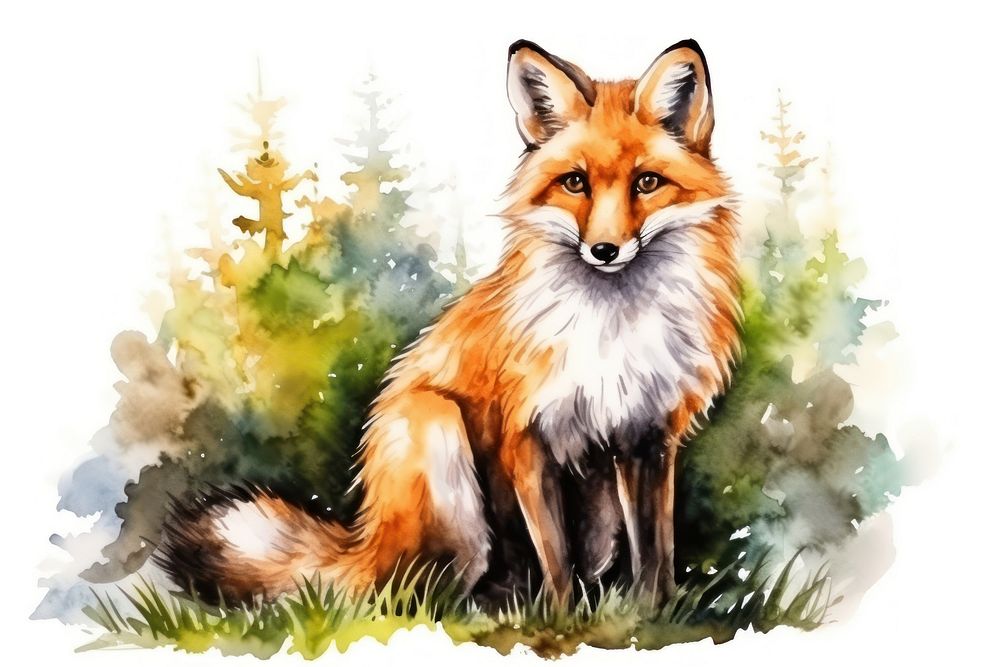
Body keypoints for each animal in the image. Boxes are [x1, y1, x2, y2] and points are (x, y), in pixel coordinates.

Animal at [157, 38, 740, 607]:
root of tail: (366, 540)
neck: (613, 331)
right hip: (437, 433)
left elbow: (656, 550)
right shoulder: (525, 438)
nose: (604, 250)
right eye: (575, 183)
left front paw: (655, 611)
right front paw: (560, 620)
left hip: (594, 517)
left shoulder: (648, 438)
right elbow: (556, 560)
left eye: (647, 182)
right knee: (413, 592)